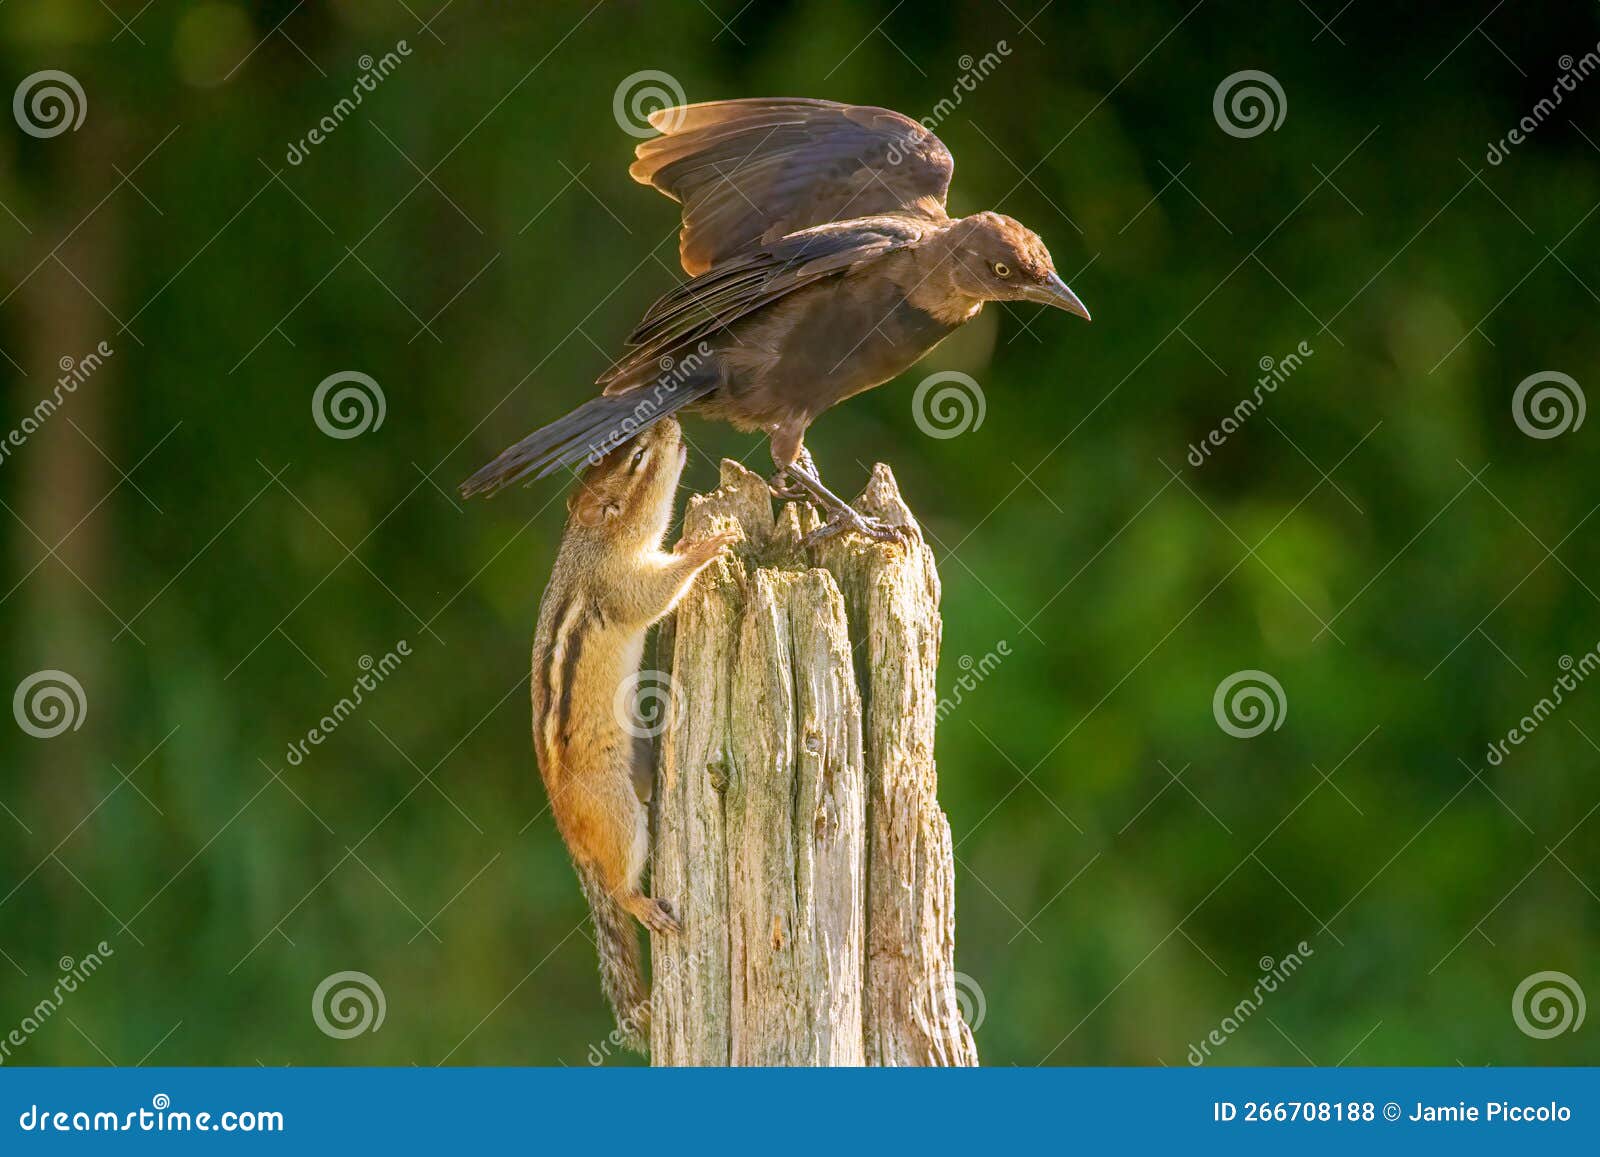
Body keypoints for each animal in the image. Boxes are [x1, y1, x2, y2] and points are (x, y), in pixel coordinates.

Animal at [530, 416, 735, 1054]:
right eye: (639, 457)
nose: (669, 420)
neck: (591, 542)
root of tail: (572, 837)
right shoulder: (621, 586)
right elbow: (656, 593)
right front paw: (704, 547)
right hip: (617, 814)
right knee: (622, 883)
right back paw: (645, 907)